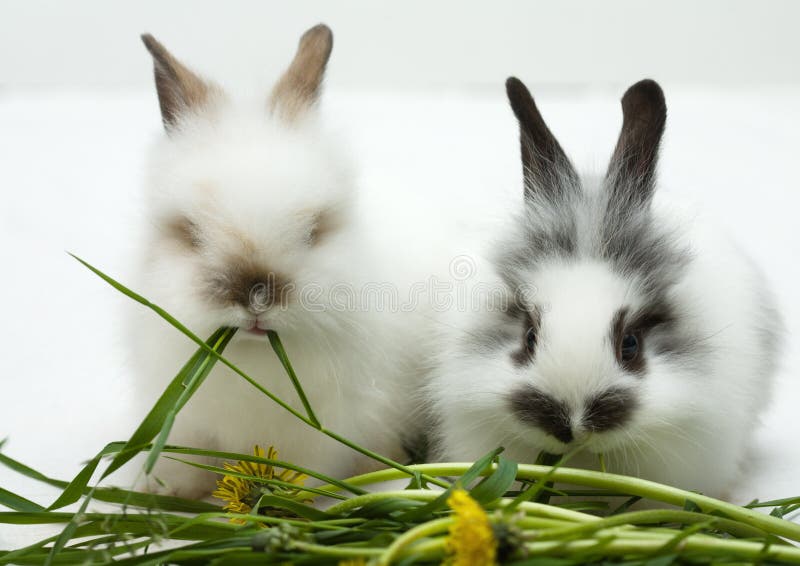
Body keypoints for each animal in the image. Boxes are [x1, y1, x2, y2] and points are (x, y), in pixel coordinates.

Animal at [128, 25, 428, 498]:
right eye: (191, 232)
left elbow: (303, 471)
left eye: (314, 230)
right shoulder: (189, 423)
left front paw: (287, 499)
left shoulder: (323, 432)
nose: (255, 296)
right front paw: (163, 492)